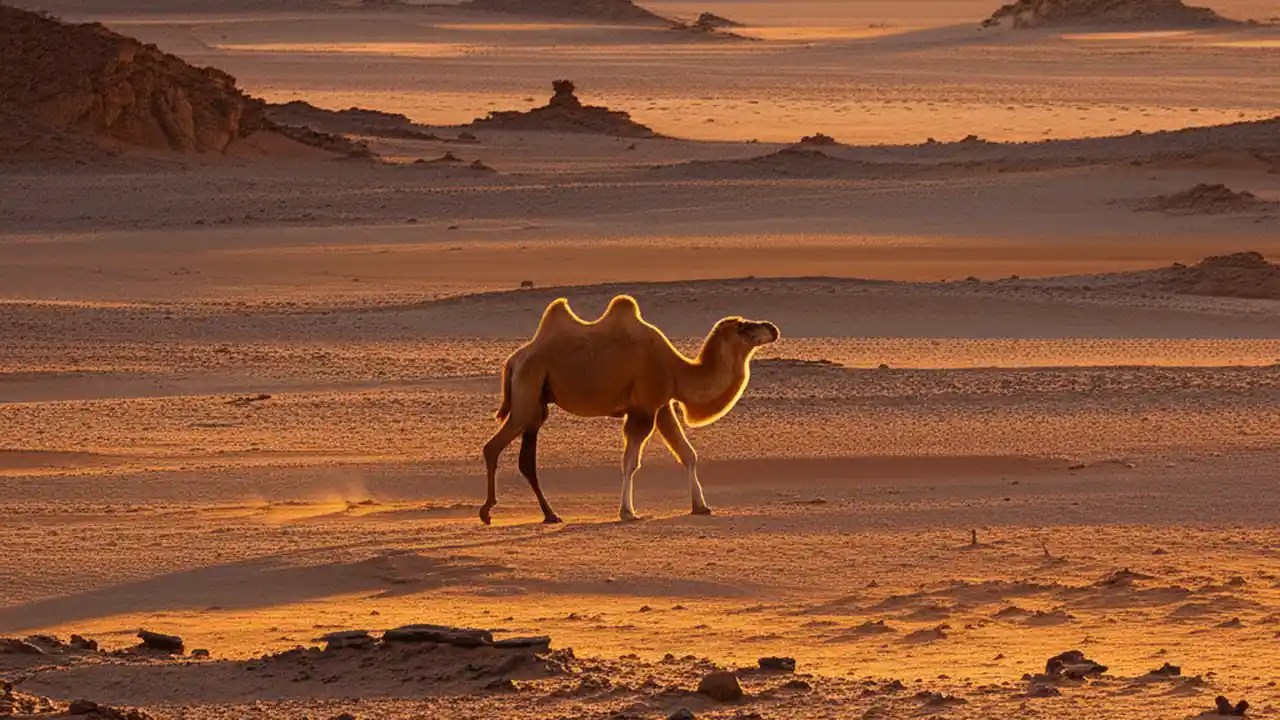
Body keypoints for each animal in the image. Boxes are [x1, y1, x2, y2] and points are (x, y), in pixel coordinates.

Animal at [481, 294, 780, 524]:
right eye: (742, 326)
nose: (772, 327)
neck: (677, 371)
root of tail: (513, 360)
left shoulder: (662, 406)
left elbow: (688, 454)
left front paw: (701, 507)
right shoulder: (643, 408)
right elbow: (631, 462)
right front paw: (628, 512)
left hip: (537, 400)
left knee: (526, 459)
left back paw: (550, 515)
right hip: (529, 385)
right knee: (493, 447)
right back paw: (487, 512)